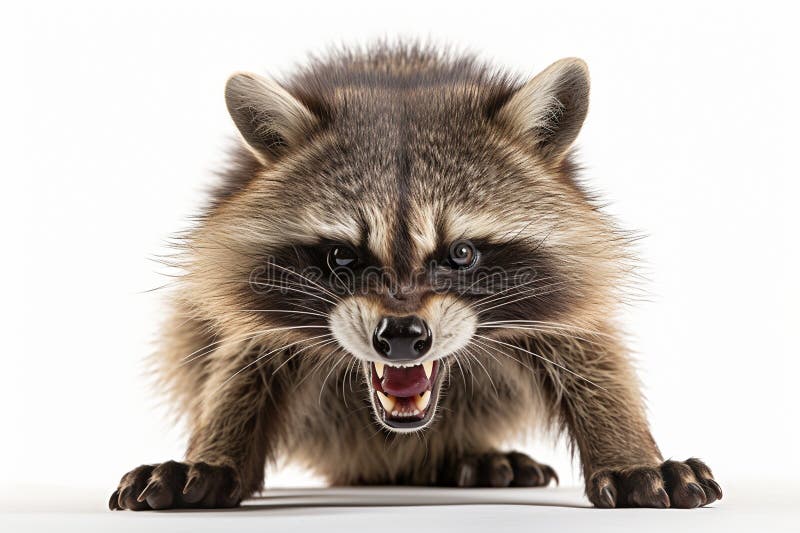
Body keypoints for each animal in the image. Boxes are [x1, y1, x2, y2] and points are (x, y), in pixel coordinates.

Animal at [109, 44, 721, 511]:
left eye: (462, 254)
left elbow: (588, 350)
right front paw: (216, 452)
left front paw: (626, 449)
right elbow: (243, 360)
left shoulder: (571, 267)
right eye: (342, 257)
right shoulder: (244, 286)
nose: (402, 337)